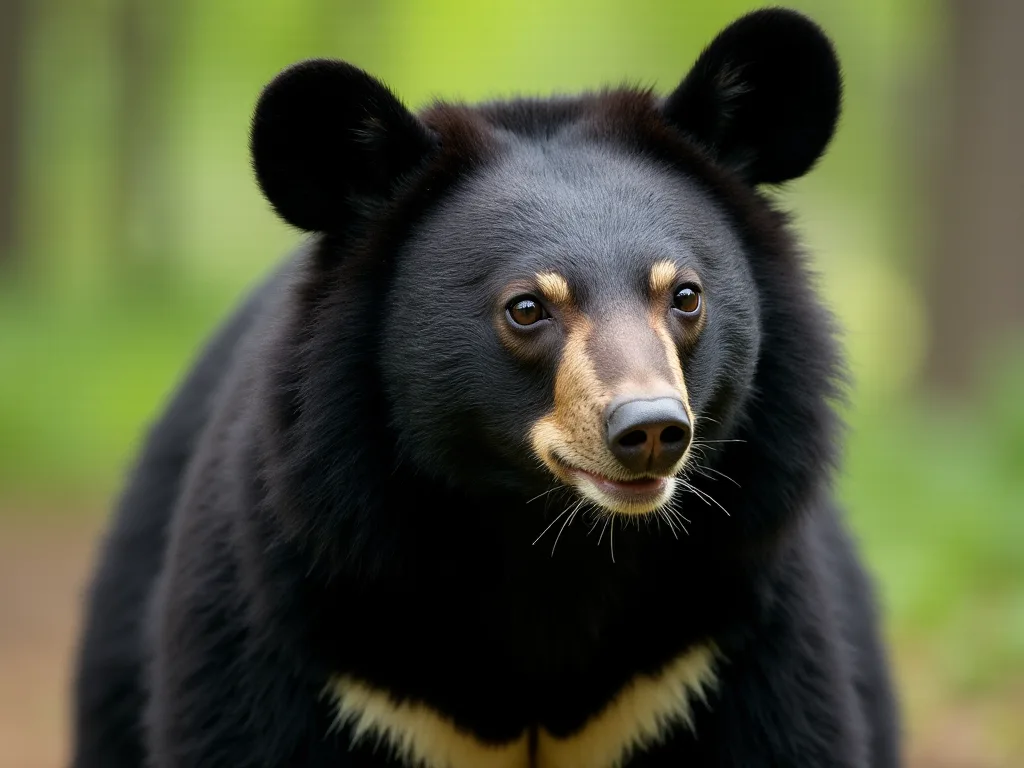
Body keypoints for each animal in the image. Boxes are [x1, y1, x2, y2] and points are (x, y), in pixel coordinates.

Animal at [71, 7, 901, 768]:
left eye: (686, 295)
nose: (651, 430)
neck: (548, 544)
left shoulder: (717, 644)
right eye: (526, 308)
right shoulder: (303, 628)